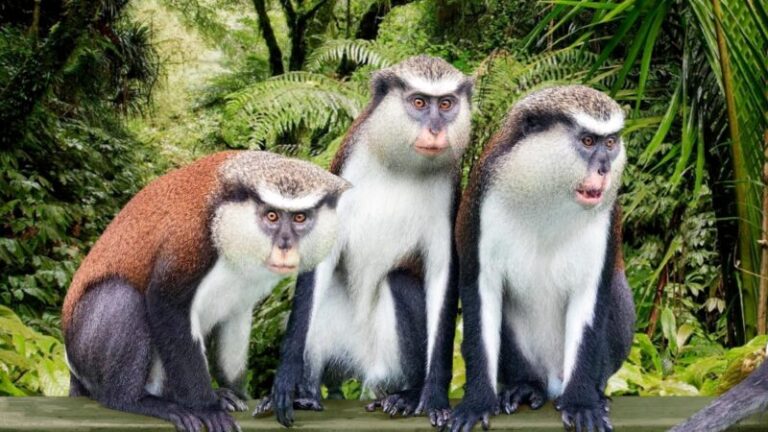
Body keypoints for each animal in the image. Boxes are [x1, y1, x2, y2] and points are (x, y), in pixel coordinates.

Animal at [61, 151, 350, 432]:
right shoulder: (191, 240)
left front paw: (240, 394)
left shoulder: (241, 303)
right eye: (272, 216)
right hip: (86, 344)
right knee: (121, 296)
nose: (285, 246)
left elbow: (234, 324)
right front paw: (207, 408)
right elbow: (166, 302)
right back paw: (133, 400)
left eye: (300, 217)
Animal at [252, 55, 473, 428]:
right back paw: (305, 393)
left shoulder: (450, 188)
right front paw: (285, 380)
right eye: (419, 102)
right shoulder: (348, 166)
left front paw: (433, 396)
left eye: (445, 104)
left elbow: (444, 271)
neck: (402, 163)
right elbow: (322, 253)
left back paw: (408, 394)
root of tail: (367, 362)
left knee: (400, 281)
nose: (436, 129)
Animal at [451, 85, 635, 432]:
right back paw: (526, 386)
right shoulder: (479, 205)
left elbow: (590, 295)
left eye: (610, 143)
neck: (546, 194)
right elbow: (482, 292)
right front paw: (477, 401)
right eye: (587, 141)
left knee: (617, 290)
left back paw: (594, 391)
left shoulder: (608, 217)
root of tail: (551, 381)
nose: (604, 168)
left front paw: (582, 402)